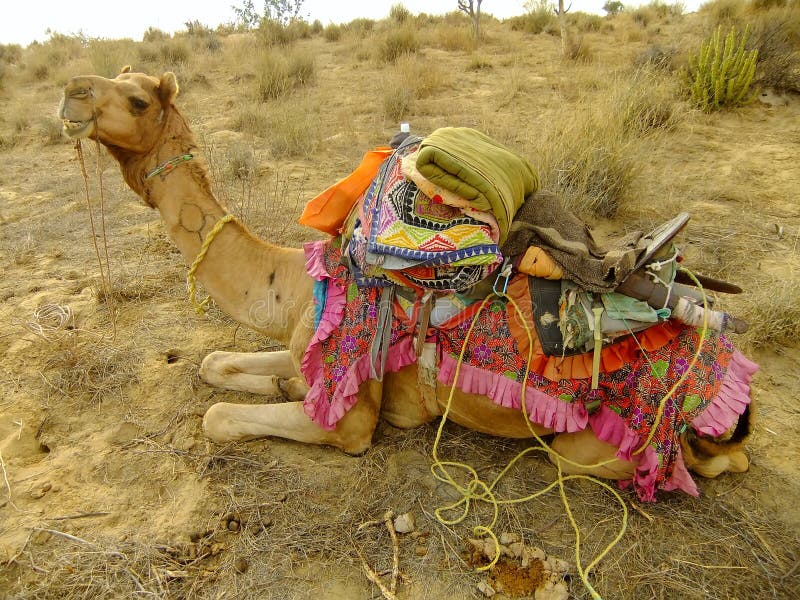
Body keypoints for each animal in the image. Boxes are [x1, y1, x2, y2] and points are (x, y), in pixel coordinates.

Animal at [58, 68, 756, 500]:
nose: (71, 92)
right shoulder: (304, 343)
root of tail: (732, 391)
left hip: (597, 445)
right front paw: (276, 380)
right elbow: (214, 364)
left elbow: (220, 415)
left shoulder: (350, 421)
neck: (291, 284)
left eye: (137, 99)